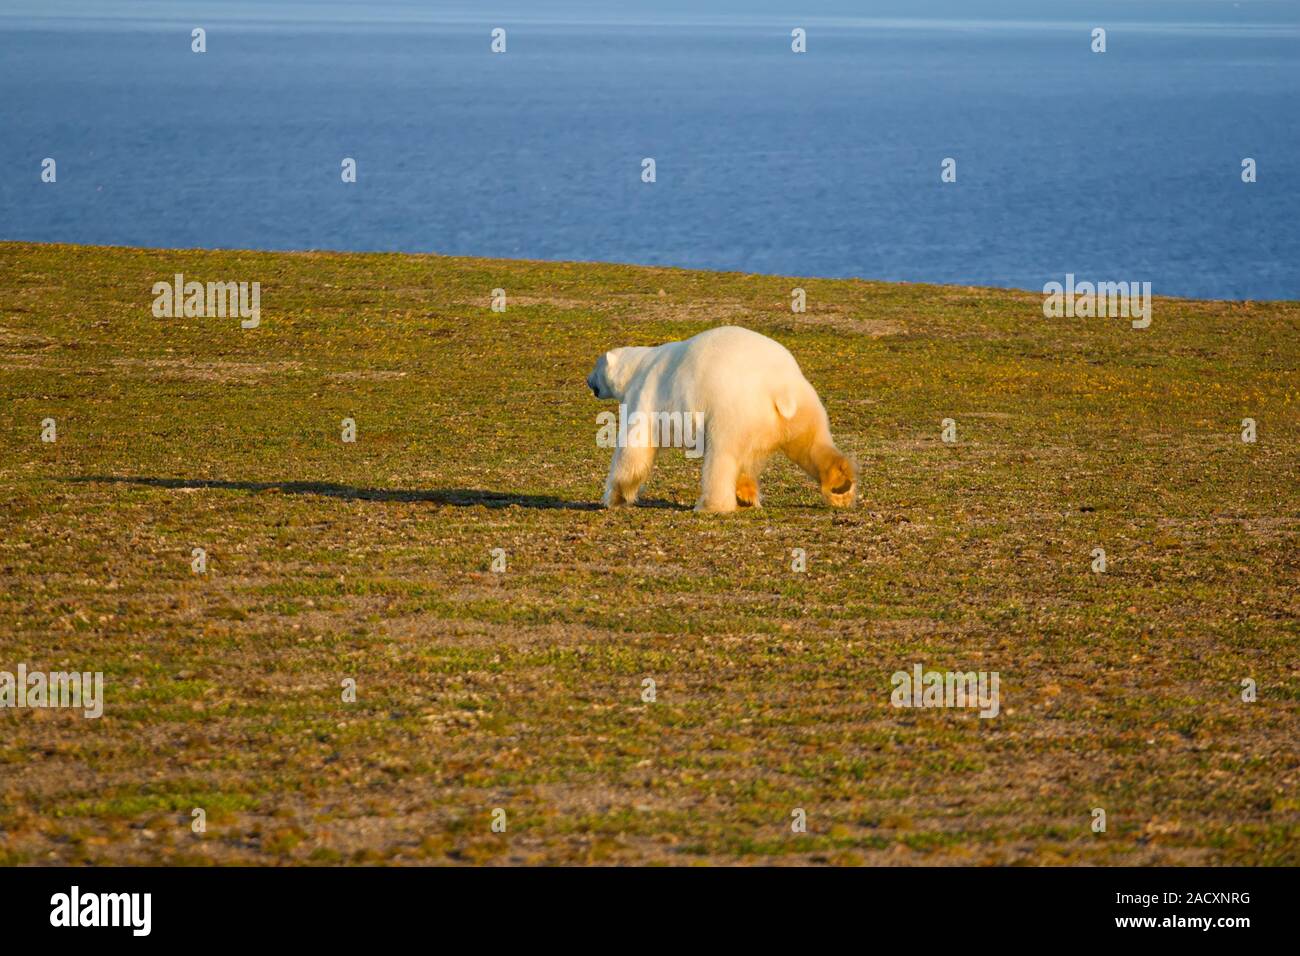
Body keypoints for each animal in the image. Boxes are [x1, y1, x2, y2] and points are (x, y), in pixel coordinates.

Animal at [586, 325, 856, 512]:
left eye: (595, 367)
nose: (588, 380)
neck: (638, 365)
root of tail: (779, 387)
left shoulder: (643, 395)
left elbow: (635, 447)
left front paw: (616, 497)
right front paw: (746, 494)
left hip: (731, 408)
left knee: (720, 456)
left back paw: (709, 505)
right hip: (802, 406)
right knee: (811, 444)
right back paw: (840, 485)